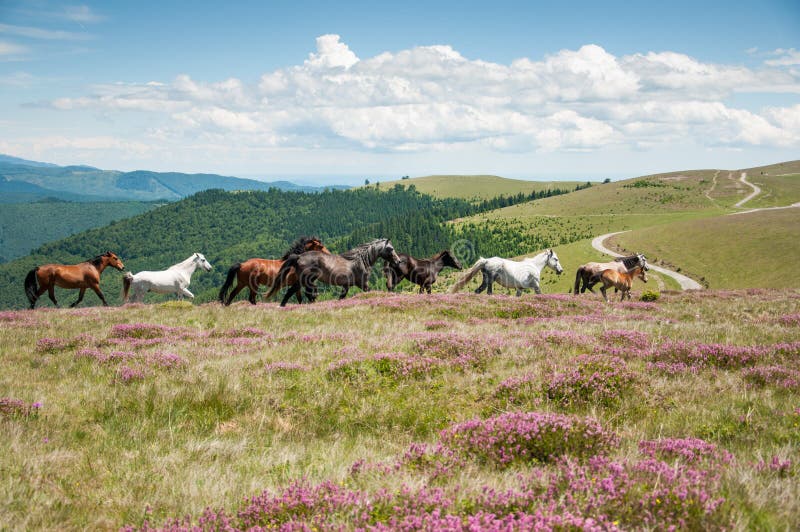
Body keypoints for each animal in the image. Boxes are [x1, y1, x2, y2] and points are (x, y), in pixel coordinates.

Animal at [268, 238, 404, 308]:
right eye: (390, 248)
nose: (398, 261)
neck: (360, 261)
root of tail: (299, 256)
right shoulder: (363, 284)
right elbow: (369, 292)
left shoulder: (346, 285)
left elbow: (341, 297)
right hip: (306, 279)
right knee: (300, 292)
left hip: (304, 280)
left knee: (296, 292)